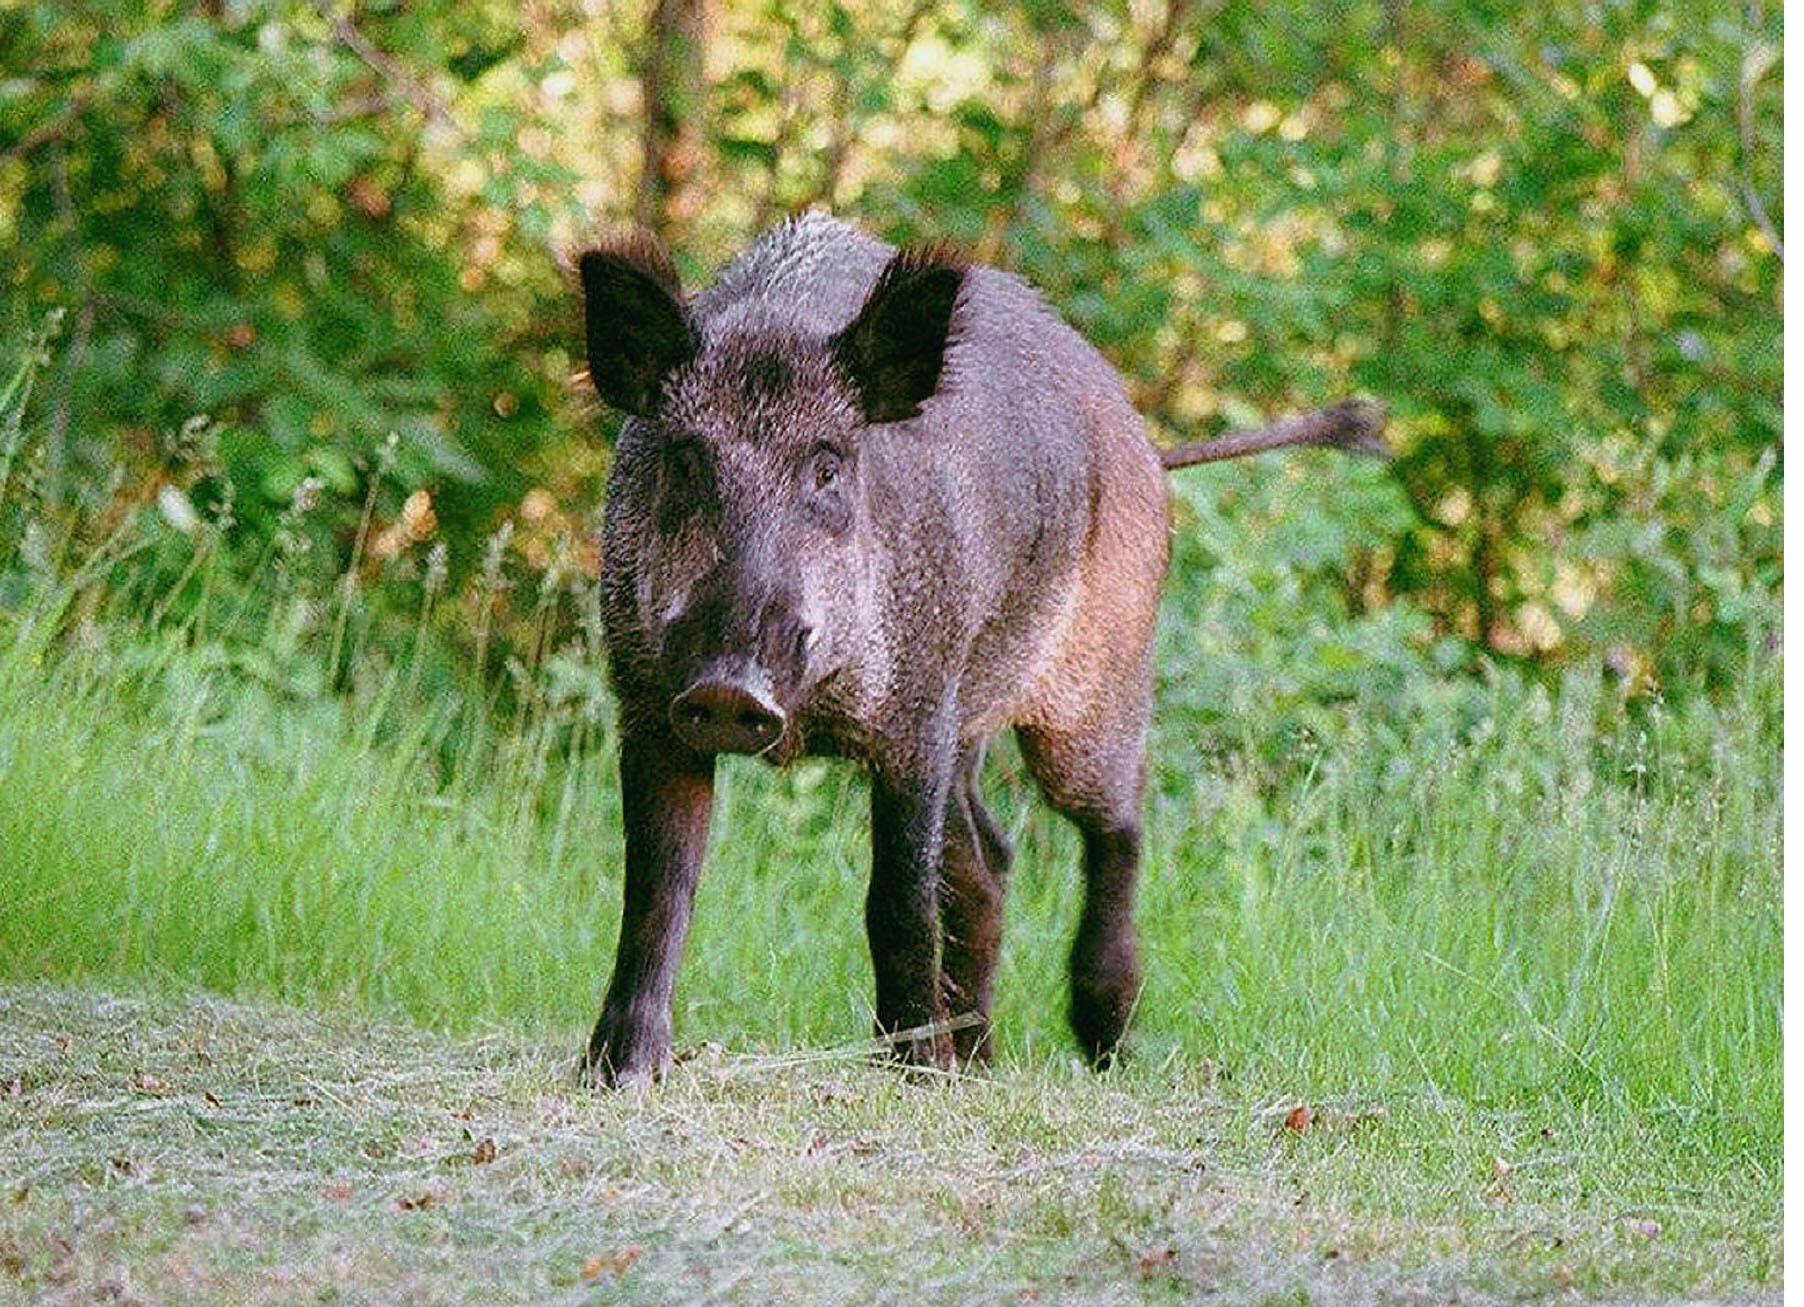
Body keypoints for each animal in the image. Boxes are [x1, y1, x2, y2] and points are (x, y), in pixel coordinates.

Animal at [575, 213, 1385, 1087]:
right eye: (687, 459)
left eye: (827, 466)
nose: (731, 689)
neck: (812, 720)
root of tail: (1144, 440)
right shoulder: (650, 703)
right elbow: (658, 889)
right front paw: (617, 1070)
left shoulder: (918, 714)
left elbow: (897, 895)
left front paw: (911, 1070)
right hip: (975, 724)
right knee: (989, 859)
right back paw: (978, 1057)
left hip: (1095, 689)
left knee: (1119, 821)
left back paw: (1103, 1042)